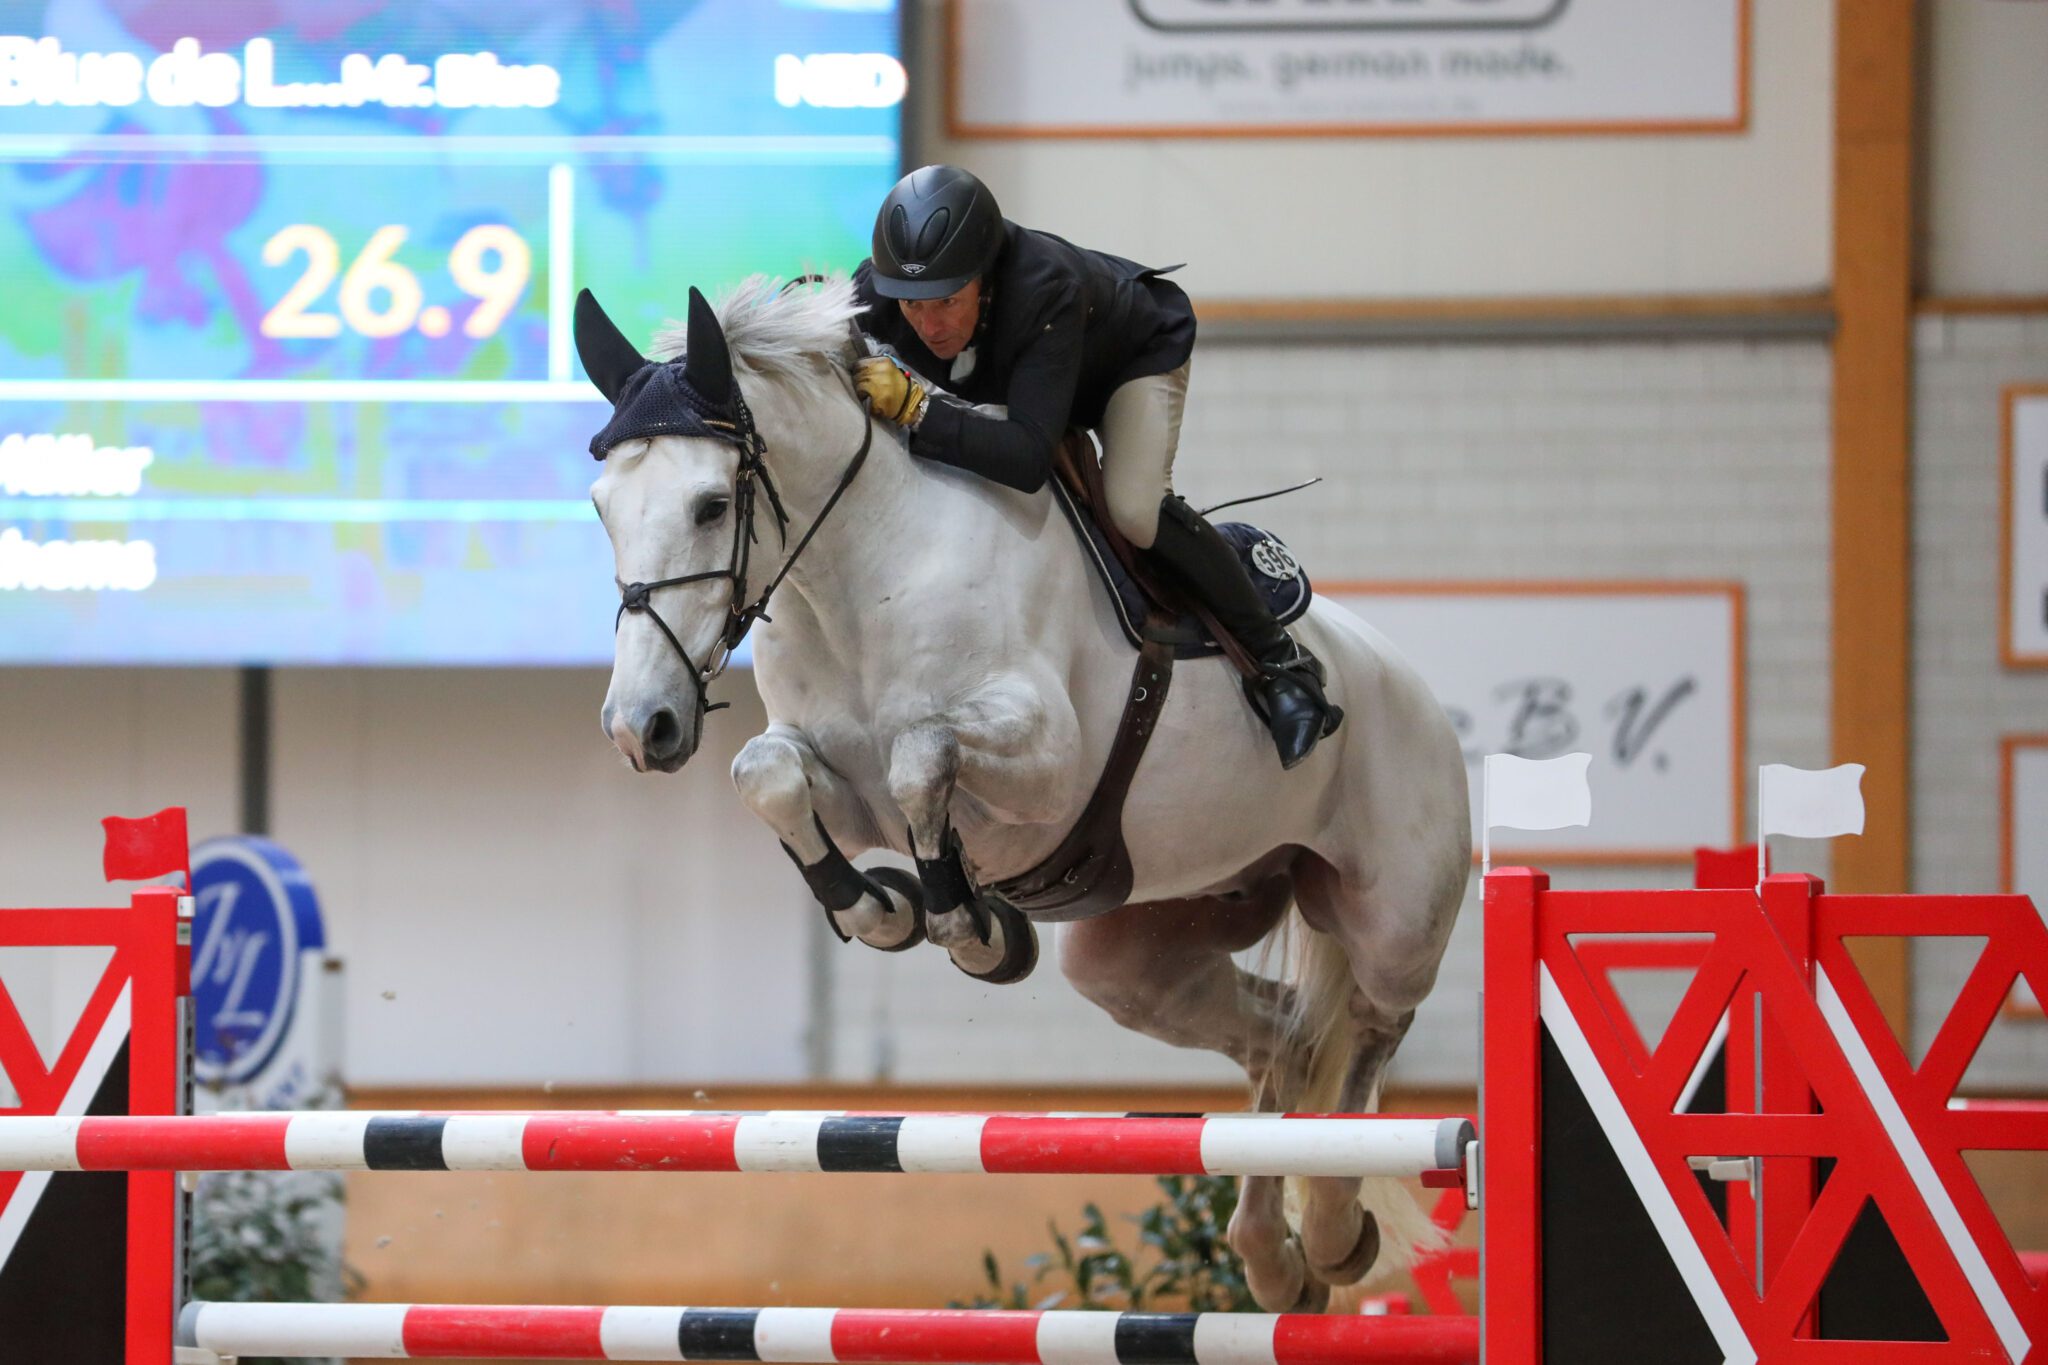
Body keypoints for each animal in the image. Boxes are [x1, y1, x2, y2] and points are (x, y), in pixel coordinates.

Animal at [576, 276, 1472, 1312]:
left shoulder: (1045, 759)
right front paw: (884, 908)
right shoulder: (842, 787)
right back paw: (1270, 1259)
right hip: (1145, 952)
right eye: (602, 505)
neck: (861, 575)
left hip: (1394, 913)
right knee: (1281, 1038)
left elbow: (923, 753)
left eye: (713, 503)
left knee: (1370, 1028)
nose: (640, 726)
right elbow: (767, 774)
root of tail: (1407, 682)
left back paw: (1329, 1231)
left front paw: (971, 926)